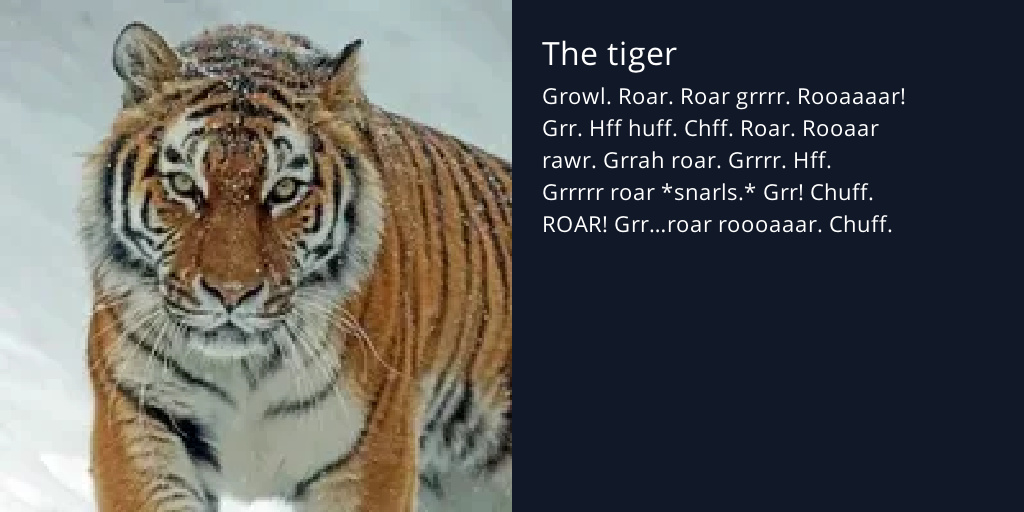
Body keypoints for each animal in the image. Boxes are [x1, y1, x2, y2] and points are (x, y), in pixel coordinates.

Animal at [77, 22, 511, 512]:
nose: (231, 293)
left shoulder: (371, 455)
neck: (245, 370)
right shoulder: (142, 415)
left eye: (284, 190)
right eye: (185, 184)